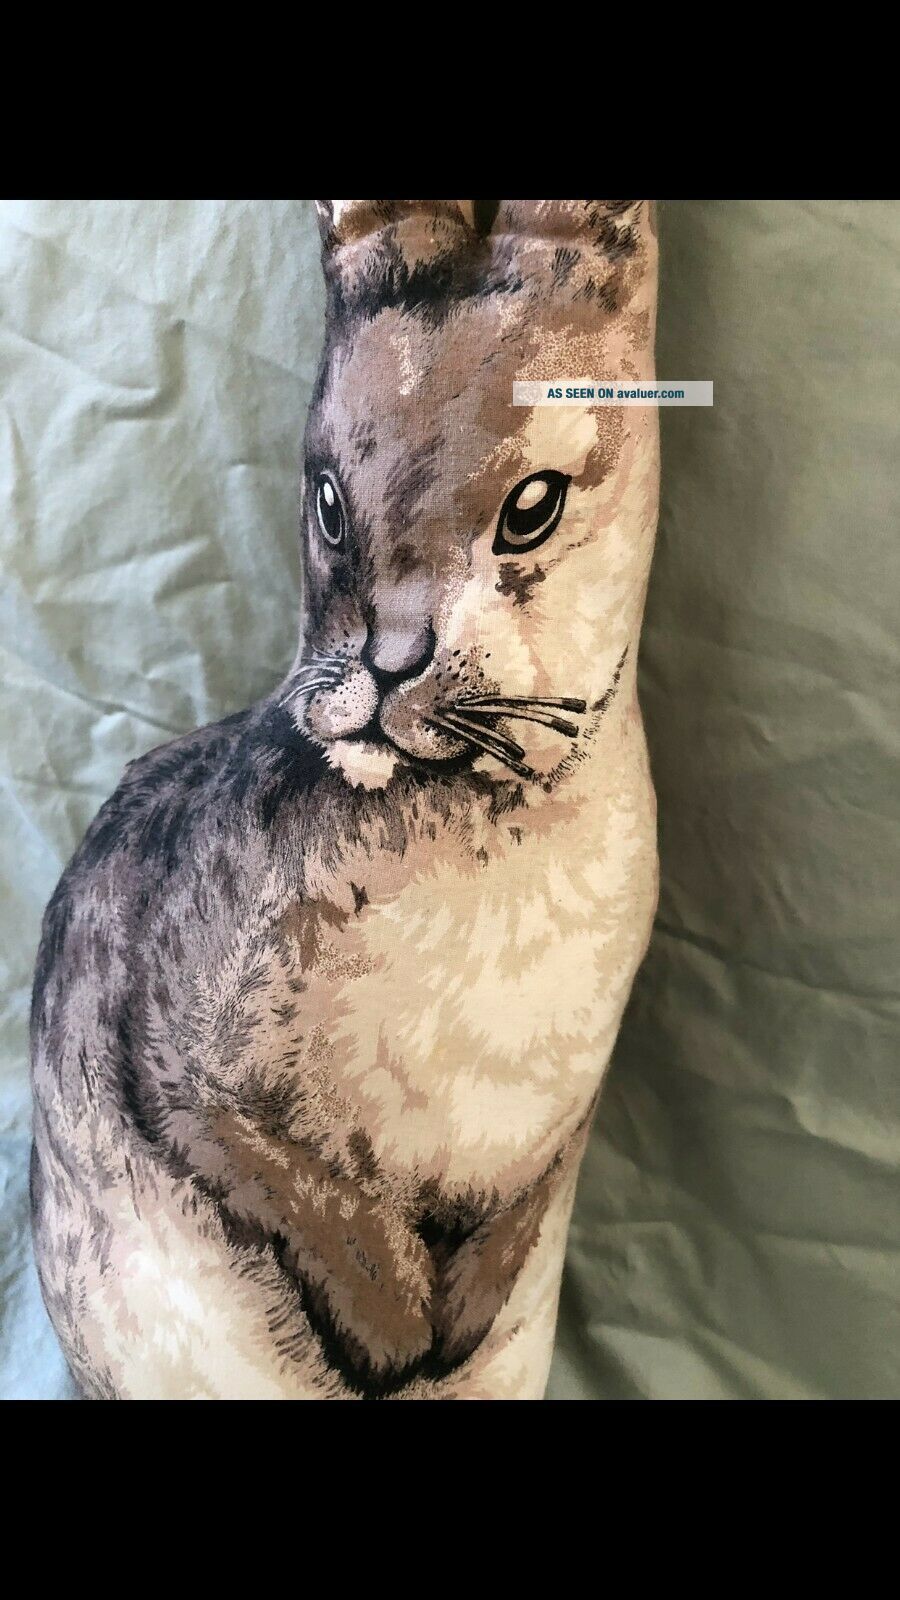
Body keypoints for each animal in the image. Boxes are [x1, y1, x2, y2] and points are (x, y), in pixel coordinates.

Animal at [30, 199, 660, 1400]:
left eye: (533, 507)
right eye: (327, 506)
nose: (383, 664)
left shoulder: (575, 1107)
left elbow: (518, 1217)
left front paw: (457, 1323)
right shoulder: (179, 1065)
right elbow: (312, 1200)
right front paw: (396, 1334)